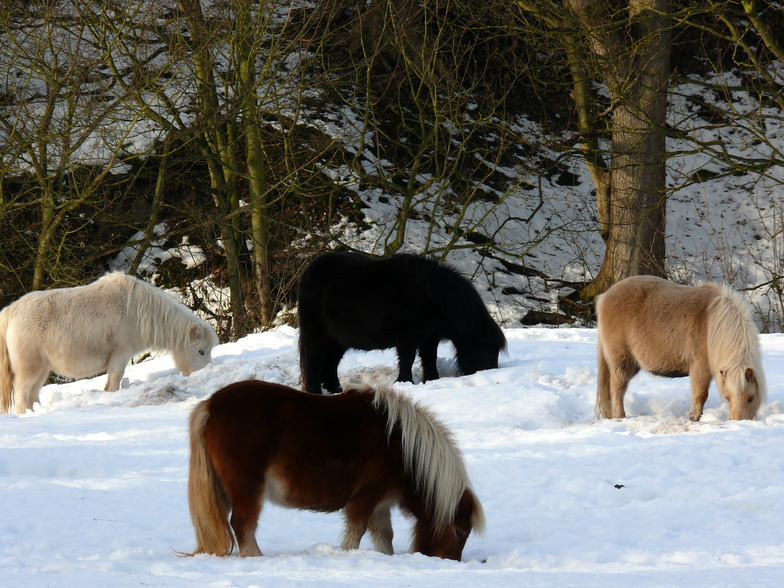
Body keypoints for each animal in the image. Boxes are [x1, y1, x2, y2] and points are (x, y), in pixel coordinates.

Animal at [0, 272, 220, 414]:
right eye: (201, 351)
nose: (203, 372)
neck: (136, 309)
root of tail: (10, 312)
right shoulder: (120, 354)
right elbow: (114, 381)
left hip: (42, 369)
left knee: (32, 394)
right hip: (28, 368)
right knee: (22, 394)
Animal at [187, 382, 486, 560]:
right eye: (460, 532)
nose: (445, 562)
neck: (399, 445)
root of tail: (210, 405)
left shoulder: (381, 503)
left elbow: (384, 538)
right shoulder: (365, 499)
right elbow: (355, 534)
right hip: (247, 490)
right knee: (242, 525)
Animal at [298, 253, 506, 396]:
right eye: (488, 349)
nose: (492, 374)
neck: (433, 297)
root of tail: (310, 271)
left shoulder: (429, 338)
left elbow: (429, 360)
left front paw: (431, 380)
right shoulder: (408, 337)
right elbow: (407, 359)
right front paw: (405, 382)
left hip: (338, 340)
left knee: (330, 365)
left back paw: (336, 390)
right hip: (316, 334)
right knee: (312, 361)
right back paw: (315, 392)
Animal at [596, 276, 764, 422]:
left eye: (751, 398)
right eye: (728, 397)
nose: (739, 421)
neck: (712, 322)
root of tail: (604, 297)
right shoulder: (700, 368)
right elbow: (700, 394)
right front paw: (694, 417)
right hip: (621, 361)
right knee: (617, 388)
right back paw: (620, 416)